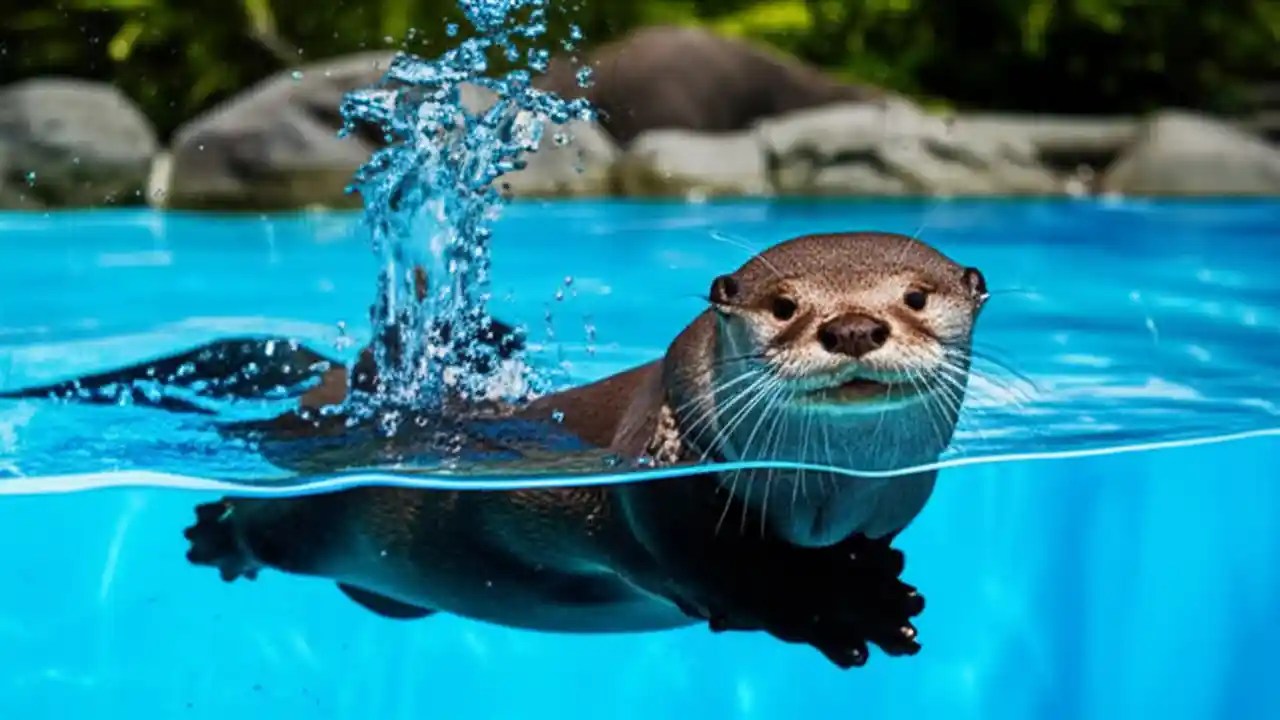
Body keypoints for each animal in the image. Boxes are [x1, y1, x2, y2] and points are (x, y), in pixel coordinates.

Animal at [174, 230, 989, 669]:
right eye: (784, 305)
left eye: (916, 297)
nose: (852, 328)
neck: (824, 497)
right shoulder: (662, 497)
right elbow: (737, 582)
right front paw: (847, 603)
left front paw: (869, 575)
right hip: (324, 512)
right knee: (273, 527)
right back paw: (218, 535)